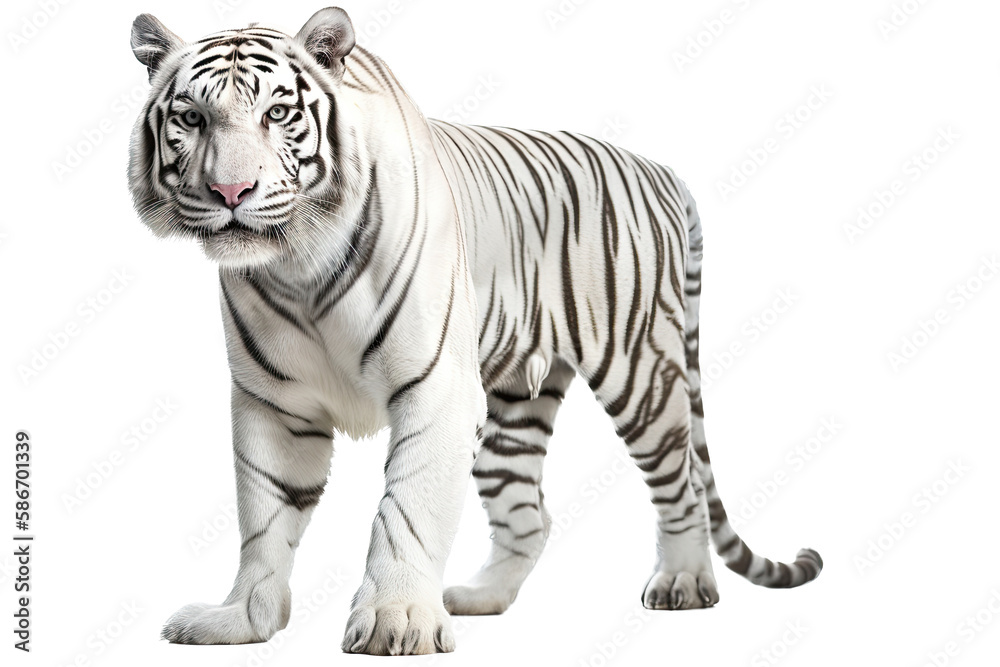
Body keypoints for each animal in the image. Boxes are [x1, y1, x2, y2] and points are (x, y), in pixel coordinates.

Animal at [128, 6, 822, 656]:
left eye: (277, 113)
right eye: (192, 118)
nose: (231, 191)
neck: (297, 265)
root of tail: (659, 169)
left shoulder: (435, 389)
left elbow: (405, 508)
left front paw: (396, 621)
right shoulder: (272, 403)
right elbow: (264, 517)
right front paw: (242, 620)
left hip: (639, 371)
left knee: (680, 480)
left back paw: (683, 581)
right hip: (511, 407)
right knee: (530, 515)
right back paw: (478, 597)